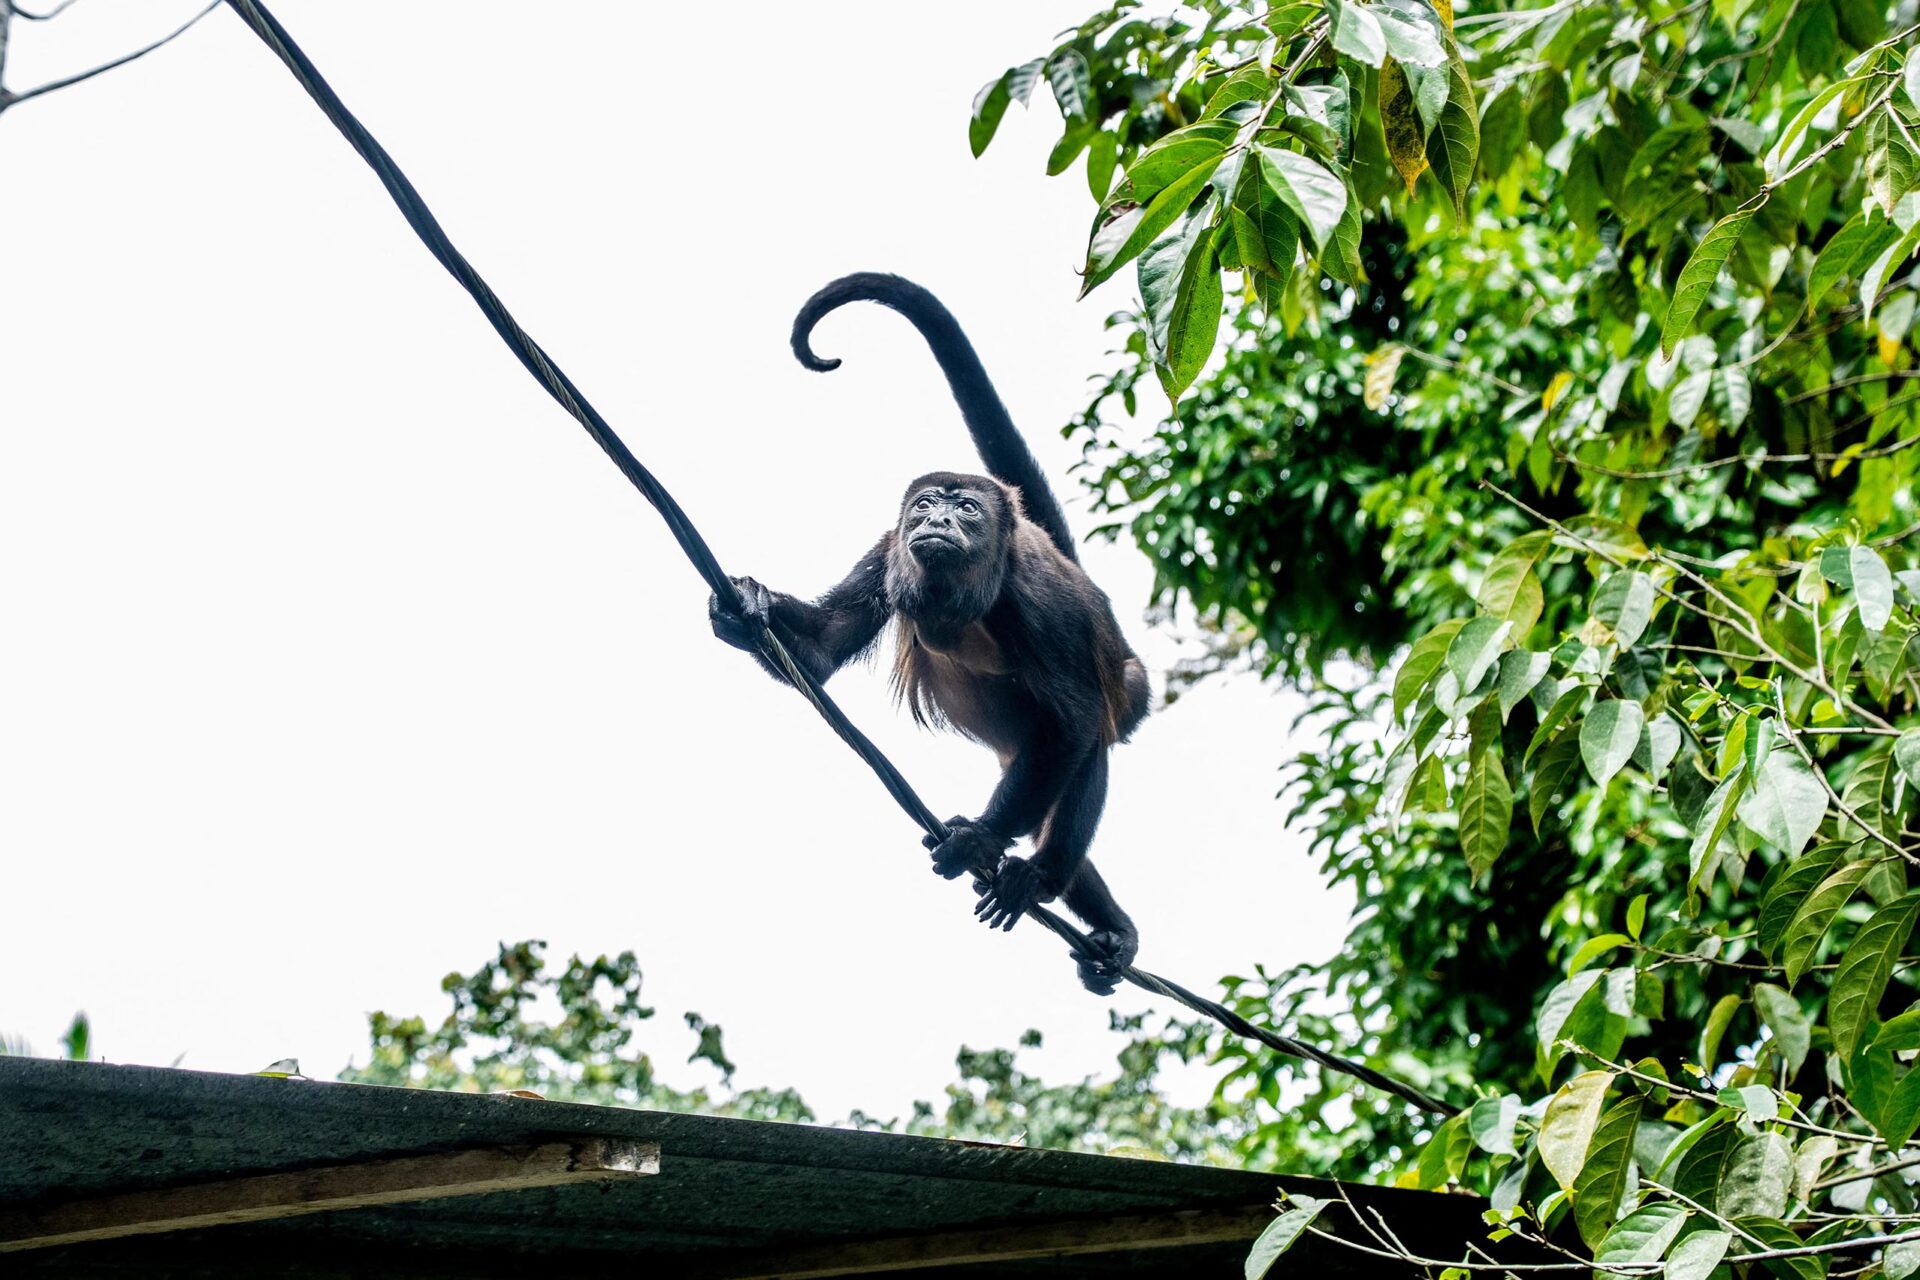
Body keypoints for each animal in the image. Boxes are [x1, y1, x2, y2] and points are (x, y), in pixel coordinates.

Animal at [707, 273, 1150, 995]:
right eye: (923, 507)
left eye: (964, 507)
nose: (937, 519)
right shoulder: (891, 550)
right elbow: (823, 649)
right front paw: (749, 603)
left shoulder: (1039, 602)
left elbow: (1077, 721)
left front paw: (983, 840)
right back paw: (1106, 924)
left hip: (1132, 683)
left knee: (1091, 736)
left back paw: (1044, 879)